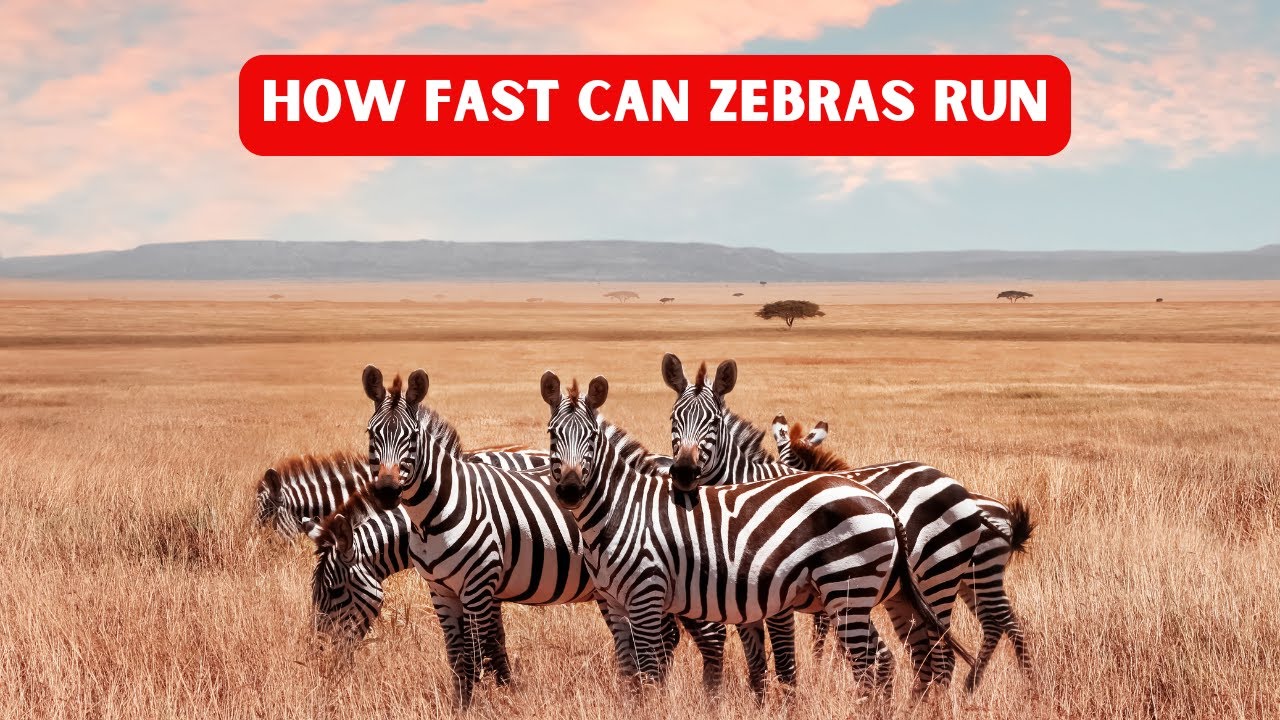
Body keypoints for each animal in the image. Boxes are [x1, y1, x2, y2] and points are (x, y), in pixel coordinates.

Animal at [358, 365, 710, 705]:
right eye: (371, 433)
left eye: (412, 436)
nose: (386, 492)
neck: (435, 513)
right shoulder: (441, 591)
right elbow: (460, 656)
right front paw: (464, 704)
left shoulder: (479, 584)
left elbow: (478, 652)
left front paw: (487, 702)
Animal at [538, 370, 975, 700]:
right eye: (552, 434)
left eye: (591, 439)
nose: (570, 491)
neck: (621, 508)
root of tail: (883, 505)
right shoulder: (617, 601)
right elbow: (633, 672)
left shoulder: (649, 595)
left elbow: (652, 673)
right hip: (885, 594)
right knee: (906, 656)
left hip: (860, 587)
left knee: (886, 659)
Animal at [661, 353, 994, 690]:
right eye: (673, 419)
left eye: (714, 422)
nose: (684, 472)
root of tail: (952, 483)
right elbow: (757, 661)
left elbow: (786, 659)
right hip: (905, 590)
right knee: (922, 653)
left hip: (937, 577)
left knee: (943, 655)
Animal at [771, 416, 1035, 690]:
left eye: (793, 465)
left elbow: (824, 629)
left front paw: (824, 667)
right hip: (968, 579)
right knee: (994, 622)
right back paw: (973, 685)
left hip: (979, 573)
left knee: (1006, 623)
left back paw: (1027, 683)